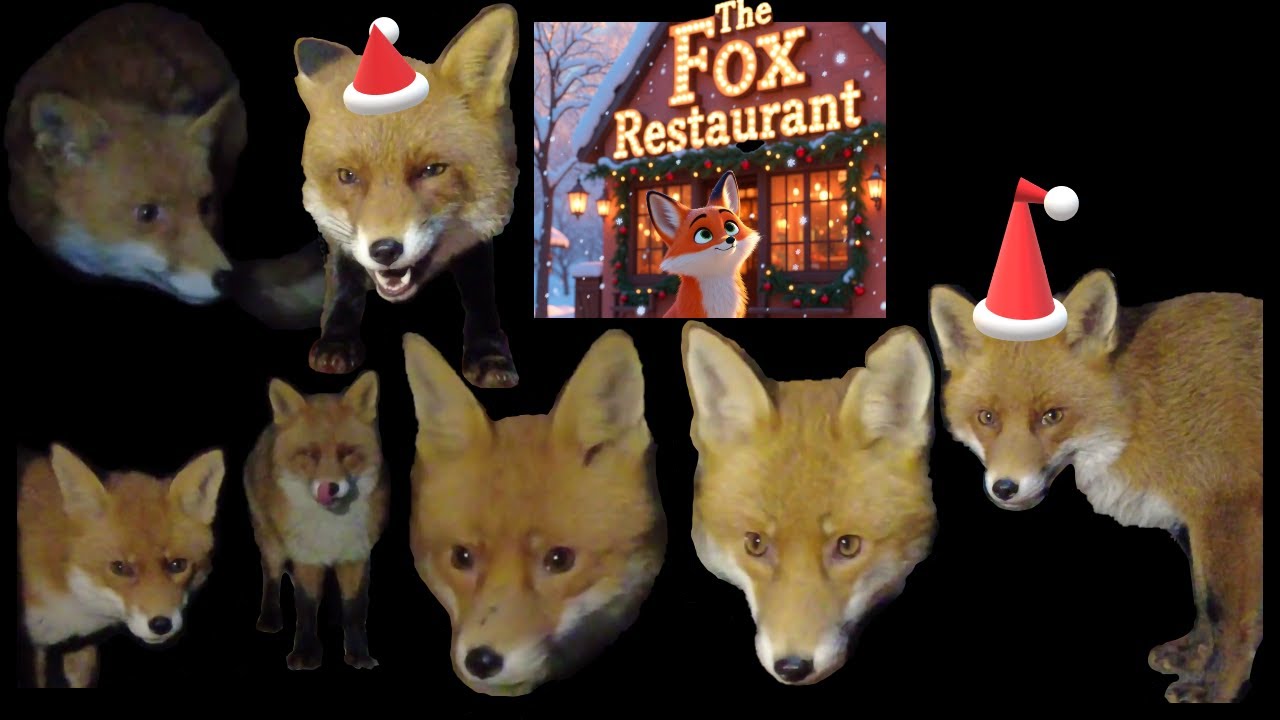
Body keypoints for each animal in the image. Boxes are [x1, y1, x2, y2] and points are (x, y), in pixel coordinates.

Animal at [243, 370, 387, 671]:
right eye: (309, 454)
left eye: (347, 453)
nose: (329, 487)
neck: (331, 528)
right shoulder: (306, 558)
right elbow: (307, 608)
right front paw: (305, 654)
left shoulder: (356, 556)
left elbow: (354, 610)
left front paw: (358, 655)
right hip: (272, 546)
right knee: (272, 577)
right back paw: (270, 618)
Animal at [283, 5, 521, 385]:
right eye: (347, 176)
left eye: (432, 170)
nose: (384, 251)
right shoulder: (339, 240)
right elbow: (343, 282)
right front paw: (336, 339)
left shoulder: (479, 236)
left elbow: (481, 296)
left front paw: (489, 353)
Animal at [928, 269, 1263, 704]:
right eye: (987, 418)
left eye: (1052, 416)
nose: (1005, 487)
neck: (1143, 410)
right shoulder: (1193, 523)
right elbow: (1204, 602)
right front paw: (1194, 656)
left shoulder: (1229, 508)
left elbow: (1227, 613)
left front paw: (1218, 687)